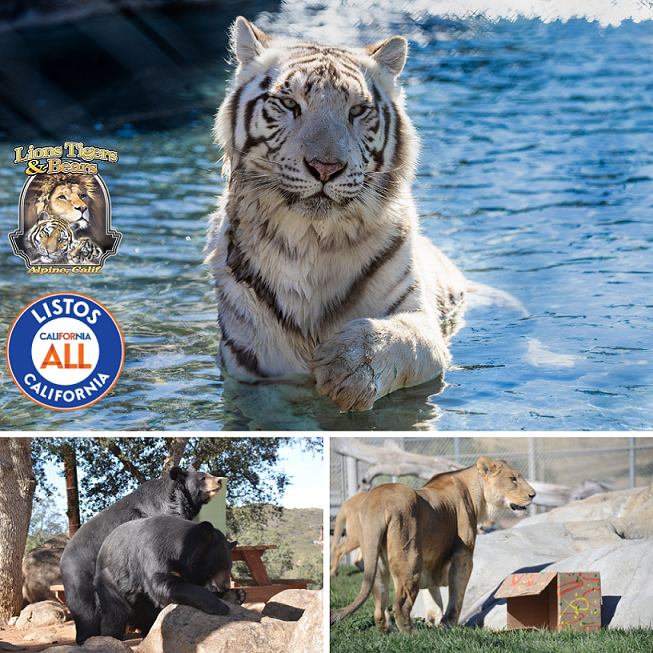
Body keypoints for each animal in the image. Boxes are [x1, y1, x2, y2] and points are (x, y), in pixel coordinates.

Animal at [60, 467, 222, 644]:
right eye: (203, 478)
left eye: (209, 474)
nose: (219, 480)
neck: (173, 502)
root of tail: (64, 556)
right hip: (81, 574)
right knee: (85, 609)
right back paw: (88, 637)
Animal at [94, 516, 238, 639]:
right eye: (223, 566)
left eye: (229, 567)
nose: (226, 585)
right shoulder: (152, 554)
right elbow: (163, 585)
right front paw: (221, 607)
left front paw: (235, 596)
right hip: (111, 584)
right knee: (114, 615)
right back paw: (110, 637)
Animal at [330, 457, 535, 633]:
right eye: (513, 479)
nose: (533, 495)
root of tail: (378, 502)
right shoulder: (463, 557)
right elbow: (455, 597)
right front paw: (449, 626)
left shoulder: (430, 564)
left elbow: (433, 598)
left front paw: (434, 624)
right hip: (410, 559)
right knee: (400, 605)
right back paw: (410, 635)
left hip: (375, 559)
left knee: (380, 609)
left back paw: (390, 633)